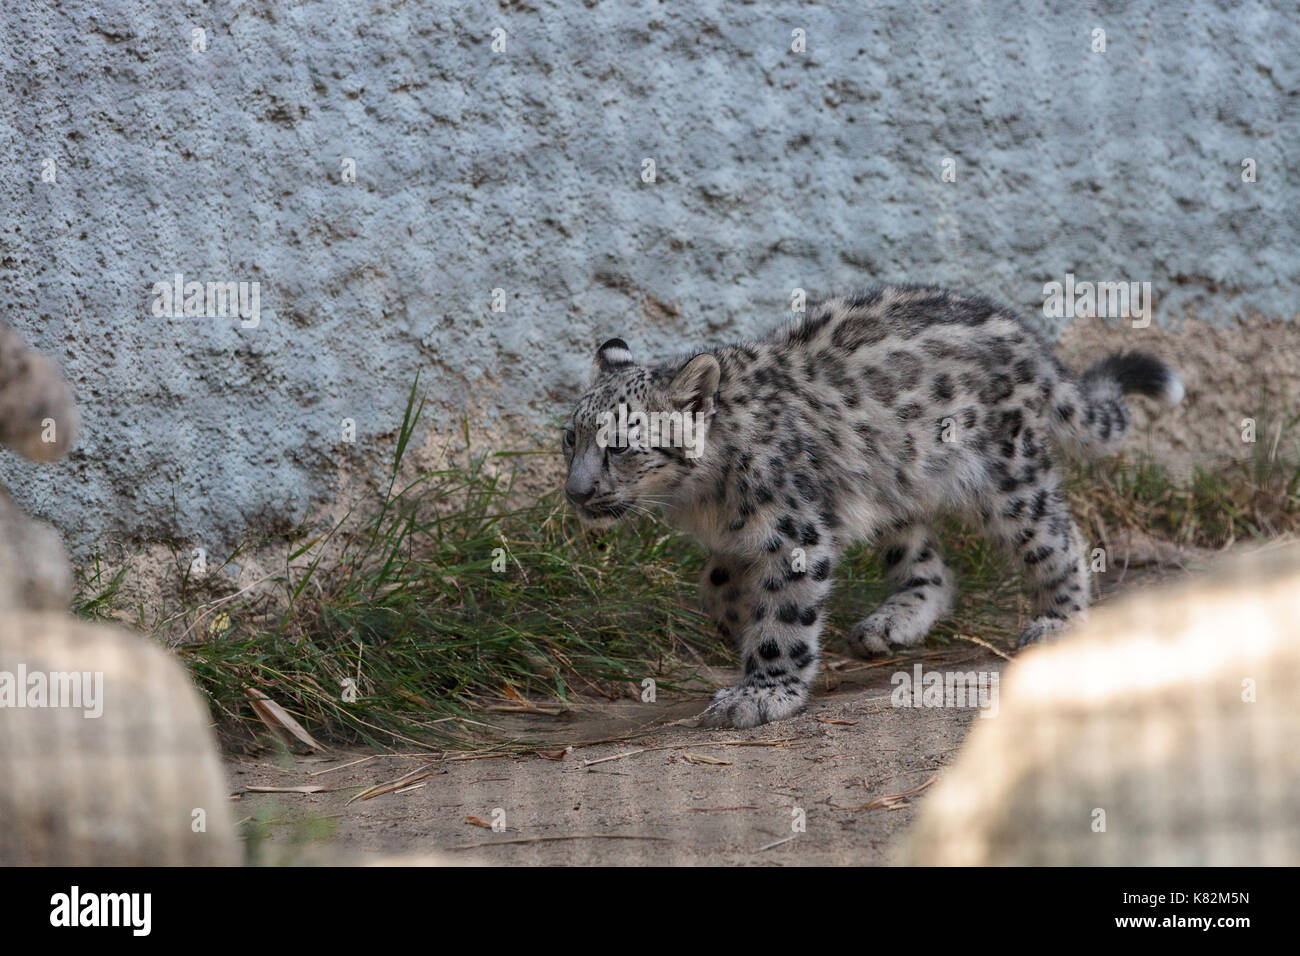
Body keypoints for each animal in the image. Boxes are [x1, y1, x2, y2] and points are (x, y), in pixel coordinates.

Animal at [561, 285, 1183, 729]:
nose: (577, 492)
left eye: (620, 445)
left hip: (1009, 476)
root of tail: (1026, 335)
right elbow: (717, 582)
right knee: (929, 567)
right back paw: (893, 622)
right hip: (892, 490)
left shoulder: (795, 534)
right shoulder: (741, 538)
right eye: (571, 436)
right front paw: (738, 626)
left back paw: (1058, 620)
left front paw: (762, 691)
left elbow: (785, 615)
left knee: (1056, 536)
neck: (703, 501)